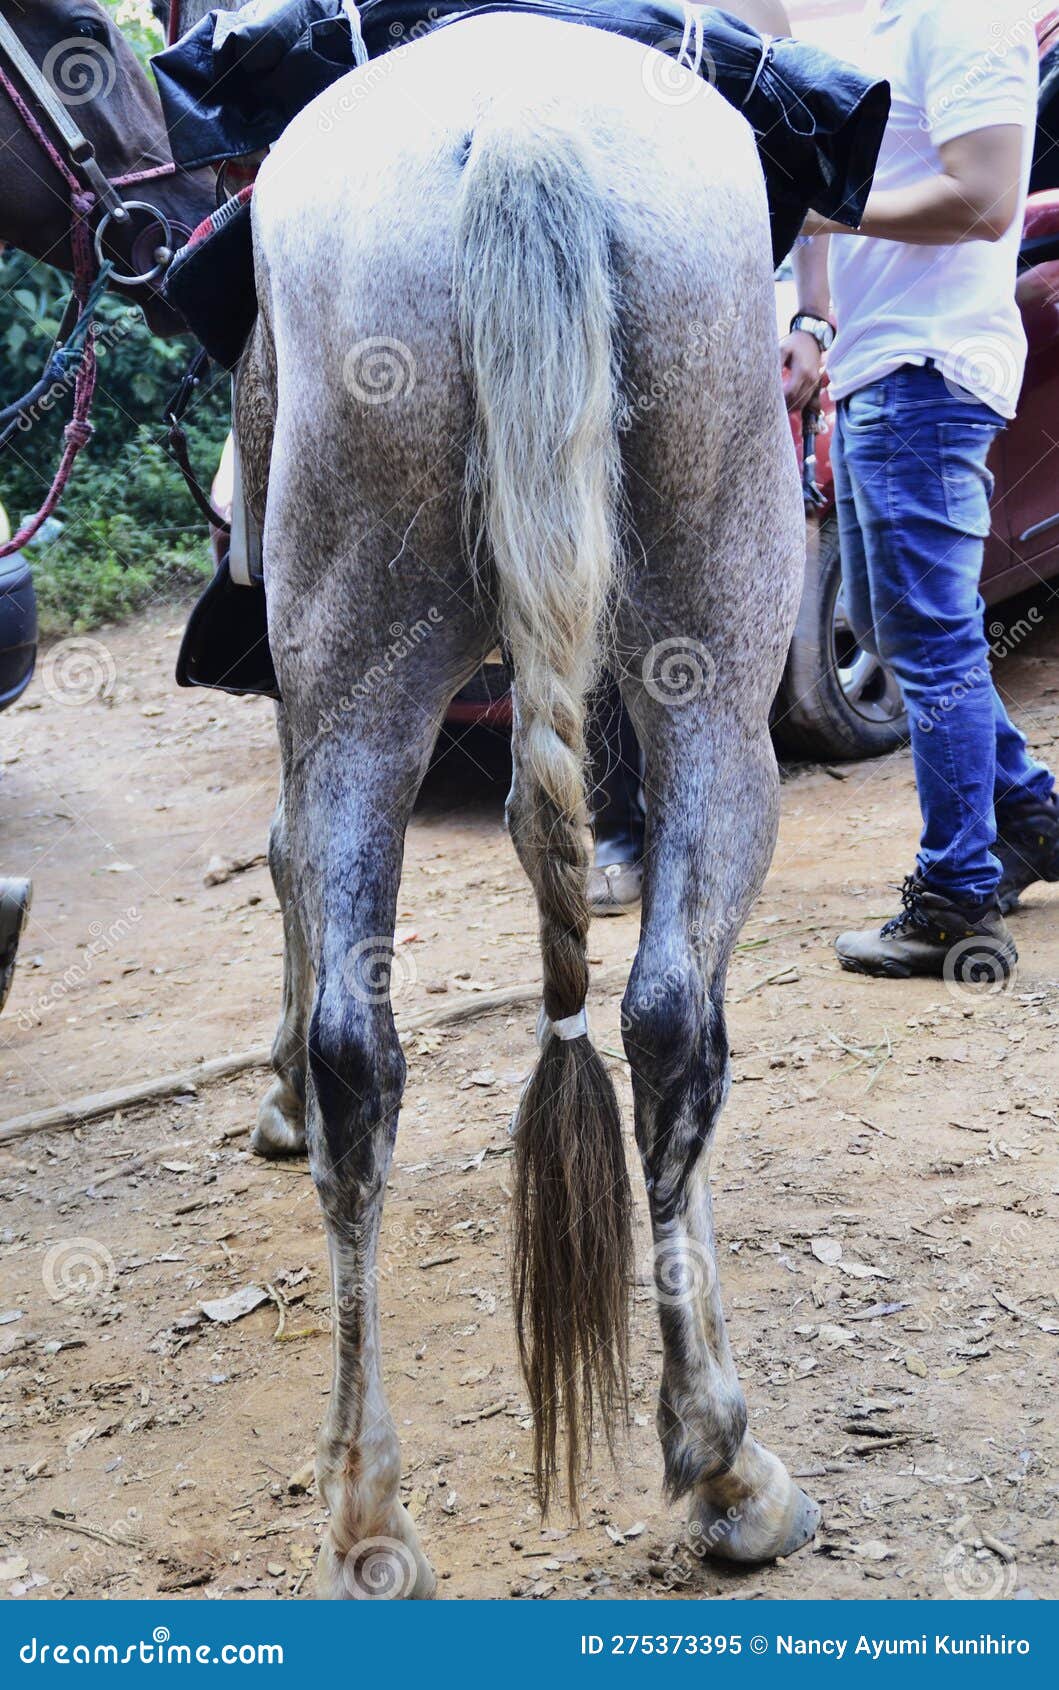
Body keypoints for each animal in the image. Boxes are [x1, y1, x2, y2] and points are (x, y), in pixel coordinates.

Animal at [217, 5, 822, 1597]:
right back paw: (723, 1463)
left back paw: (368, 1515)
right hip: (715, 657)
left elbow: (291, 864)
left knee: (367, 1044)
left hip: (360, 656)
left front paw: (278, 1099)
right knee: (673, 1013)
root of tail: (523, 127)